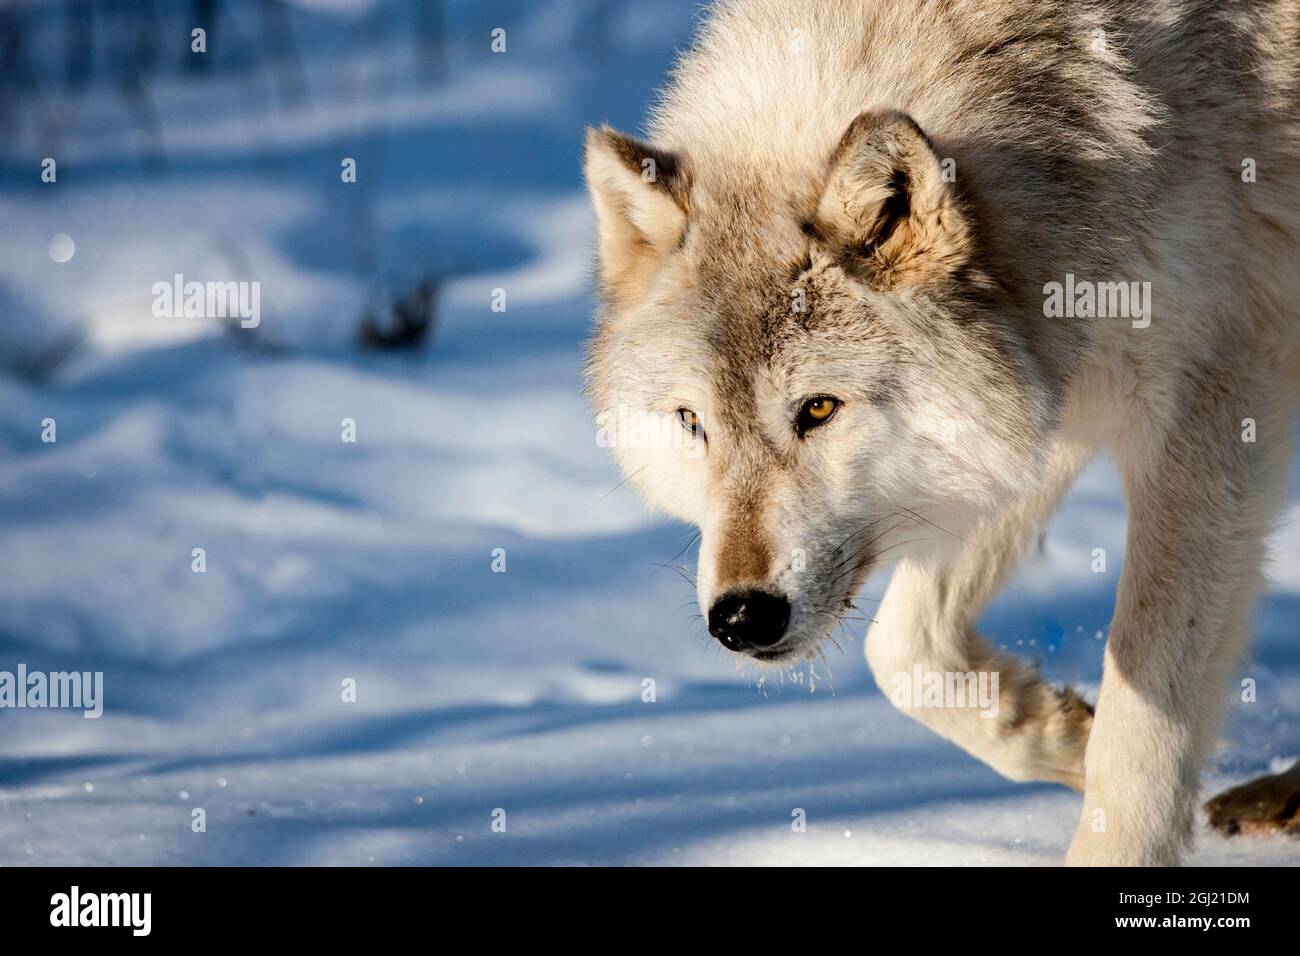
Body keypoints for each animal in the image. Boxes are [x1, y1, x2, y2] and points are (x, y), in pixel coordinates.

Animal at [583, 0, 1300, 865]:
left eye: (817, 409)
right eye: (694, 423)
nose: (741, 618)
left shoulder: (1209, 411)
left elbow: (1142, 722)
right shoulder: (1037, 402)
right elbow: (902, 650)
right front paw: (1060, 732)